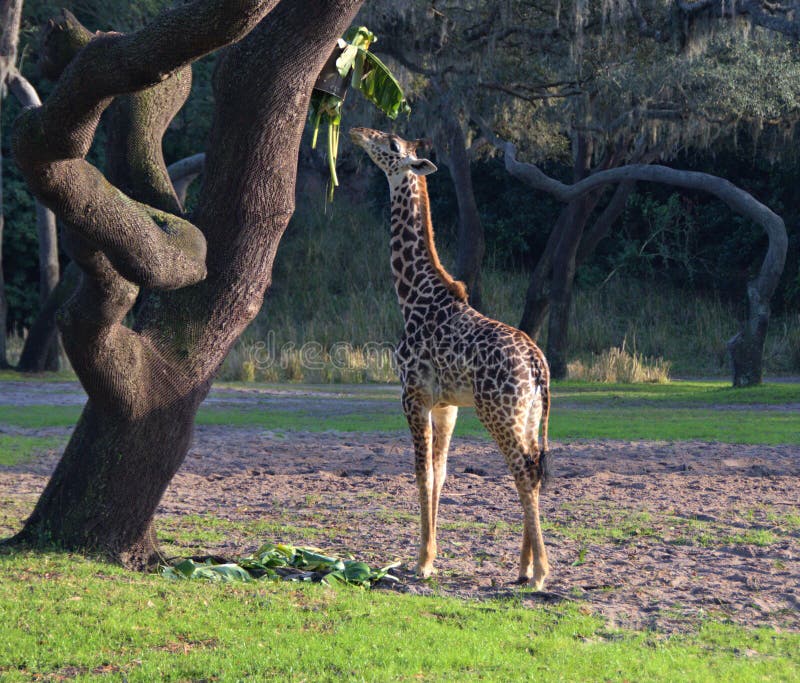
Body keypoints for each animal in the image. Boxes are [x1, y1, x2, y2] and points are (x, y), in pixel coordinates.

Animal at [350, 127, 552, 591]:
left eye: (390, 144)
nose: (356, 131)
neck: (412, 297)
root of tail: (539, 367)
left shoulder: (412, 394)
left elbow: (421, 472)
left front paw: (422, 562)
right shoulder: (447, 405)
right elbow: (441, 473)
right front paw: (432, 555)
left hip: (498, 410)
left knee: (524, 469)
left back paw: (539, 573)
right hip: (529, 414)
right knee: (533, 468)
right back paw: (522, 567)